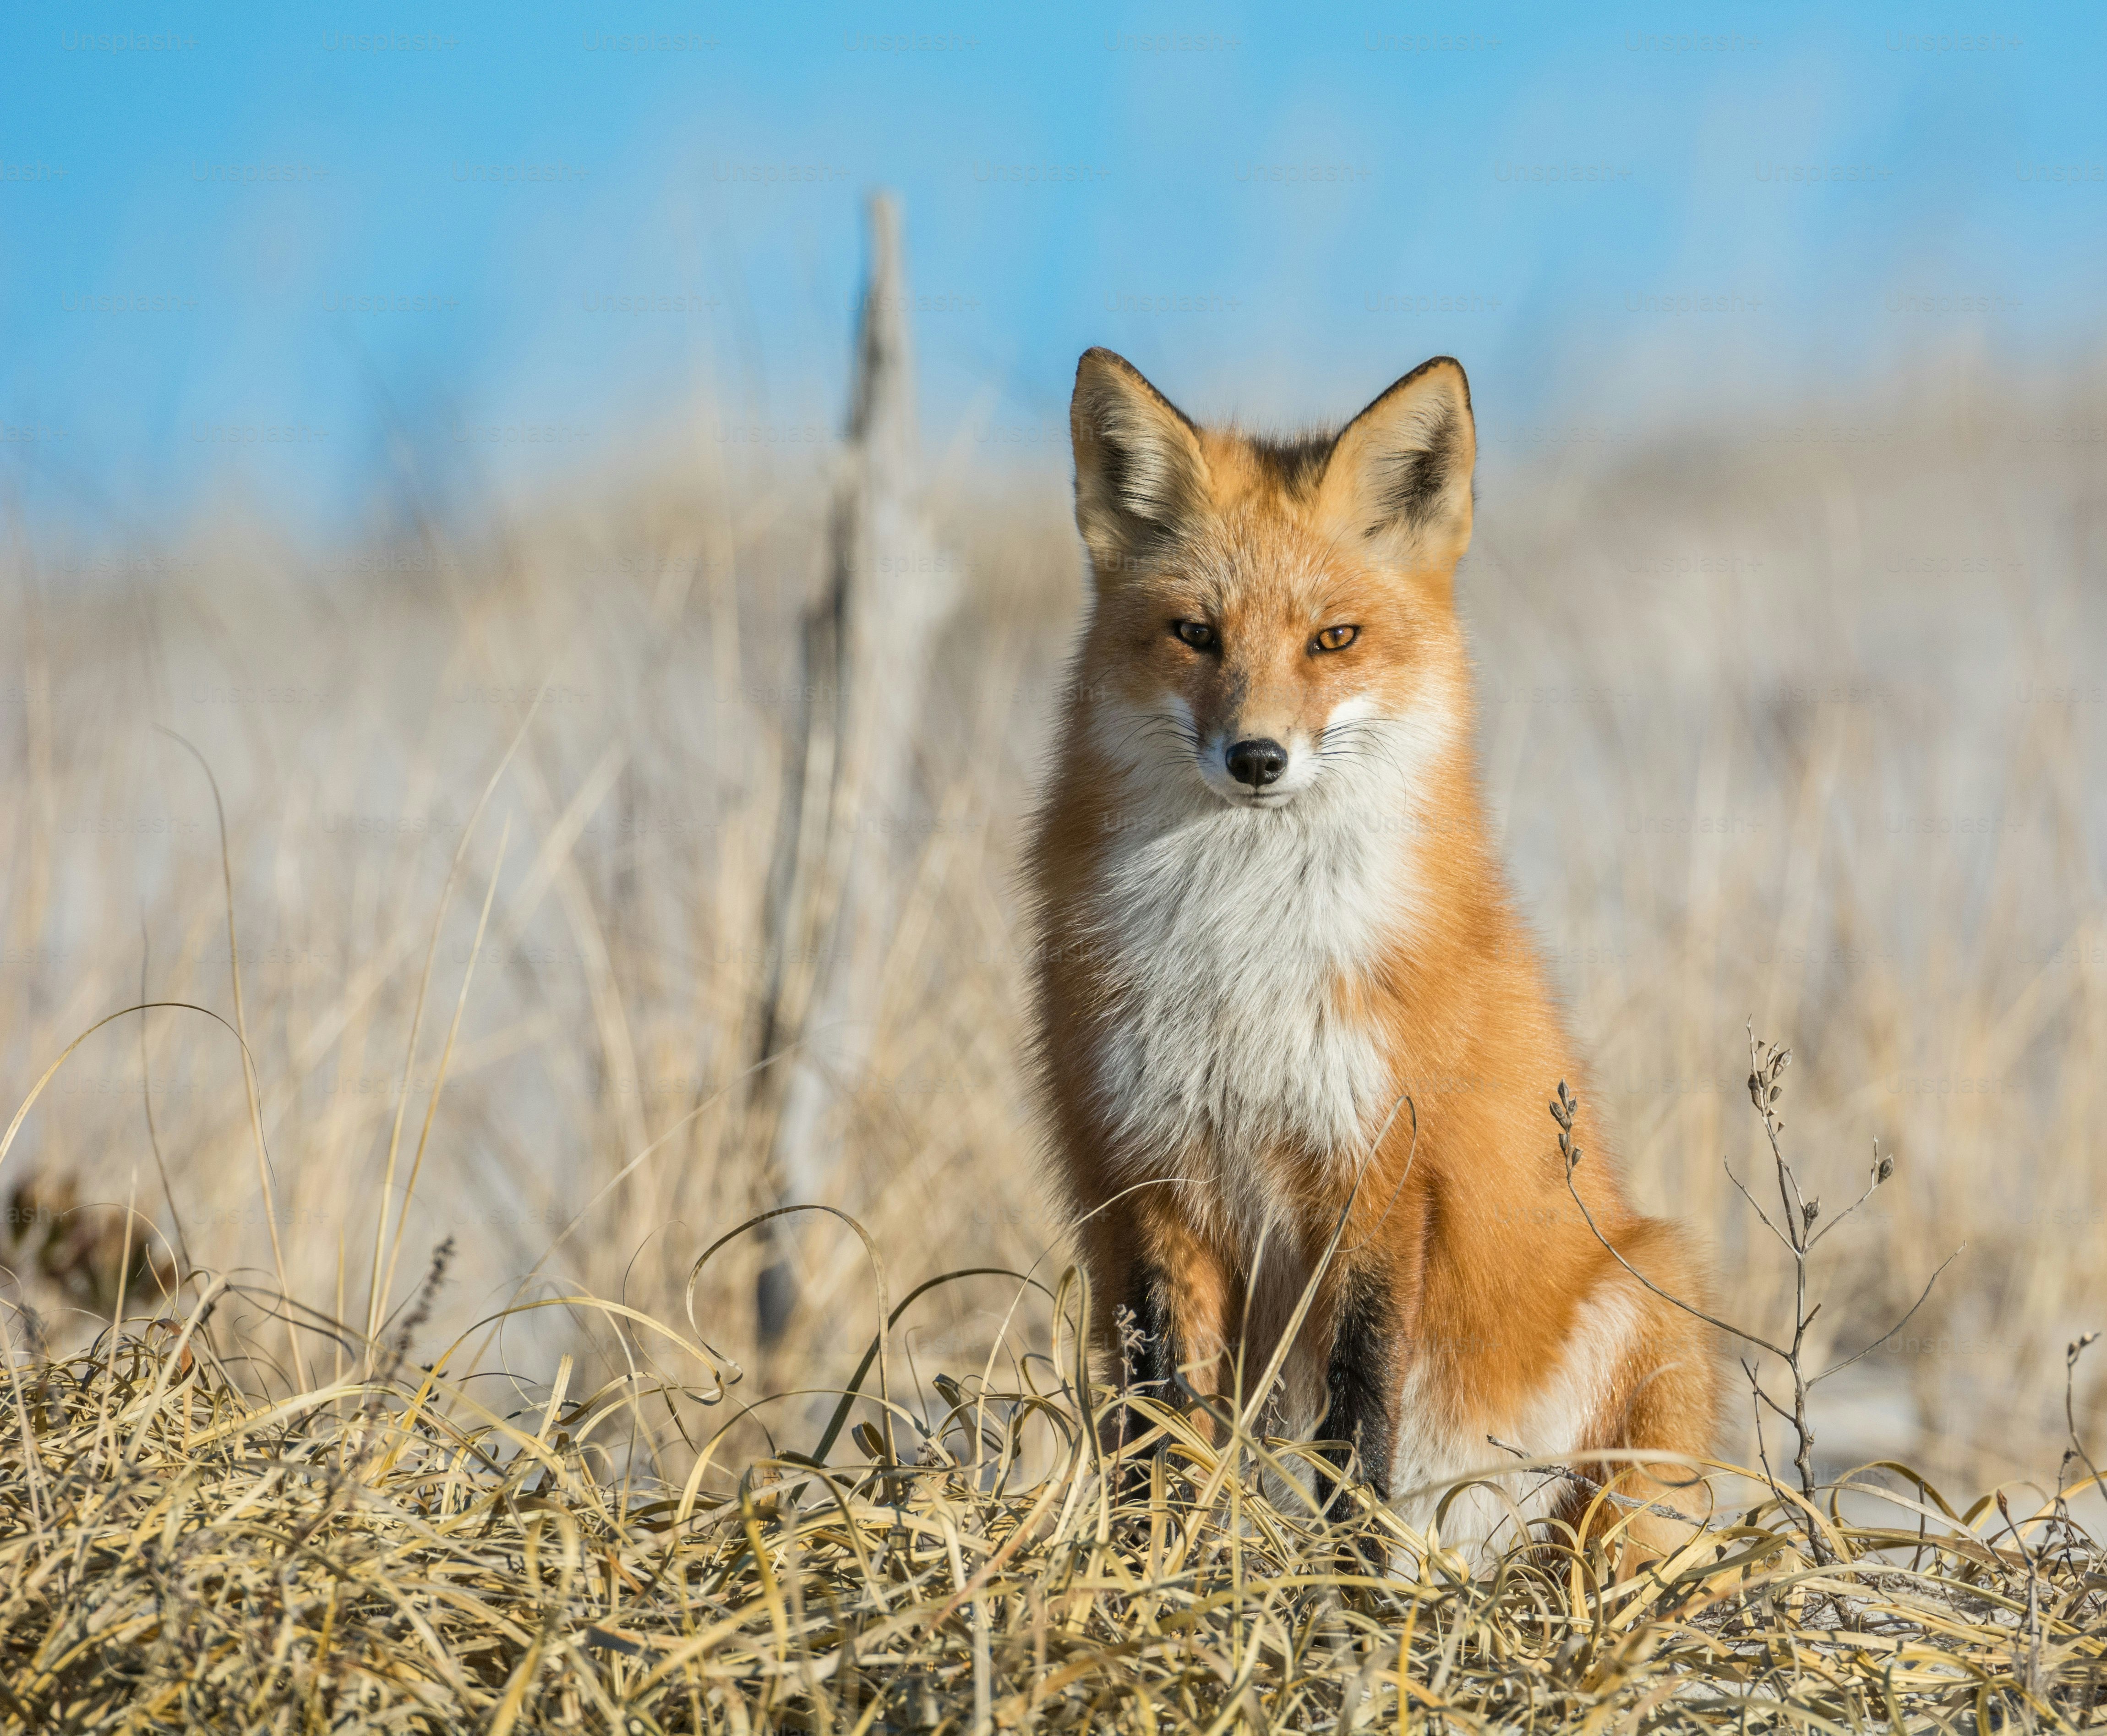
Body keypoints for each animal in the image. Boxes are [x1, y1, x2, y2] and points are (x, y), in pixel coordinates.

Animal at [1026, 348, 1719, 1568]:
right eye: (1195, 634)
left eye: (1332, 639)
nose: (1256, 757)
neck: (1241, 957)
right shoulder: (1149, 1171)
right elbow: (1164, 1437)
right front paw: (1152, 1578)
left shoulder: (1377, 1171)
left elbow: (1356, 1431)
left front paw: (1348, 1600)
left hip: (1648, 1303)